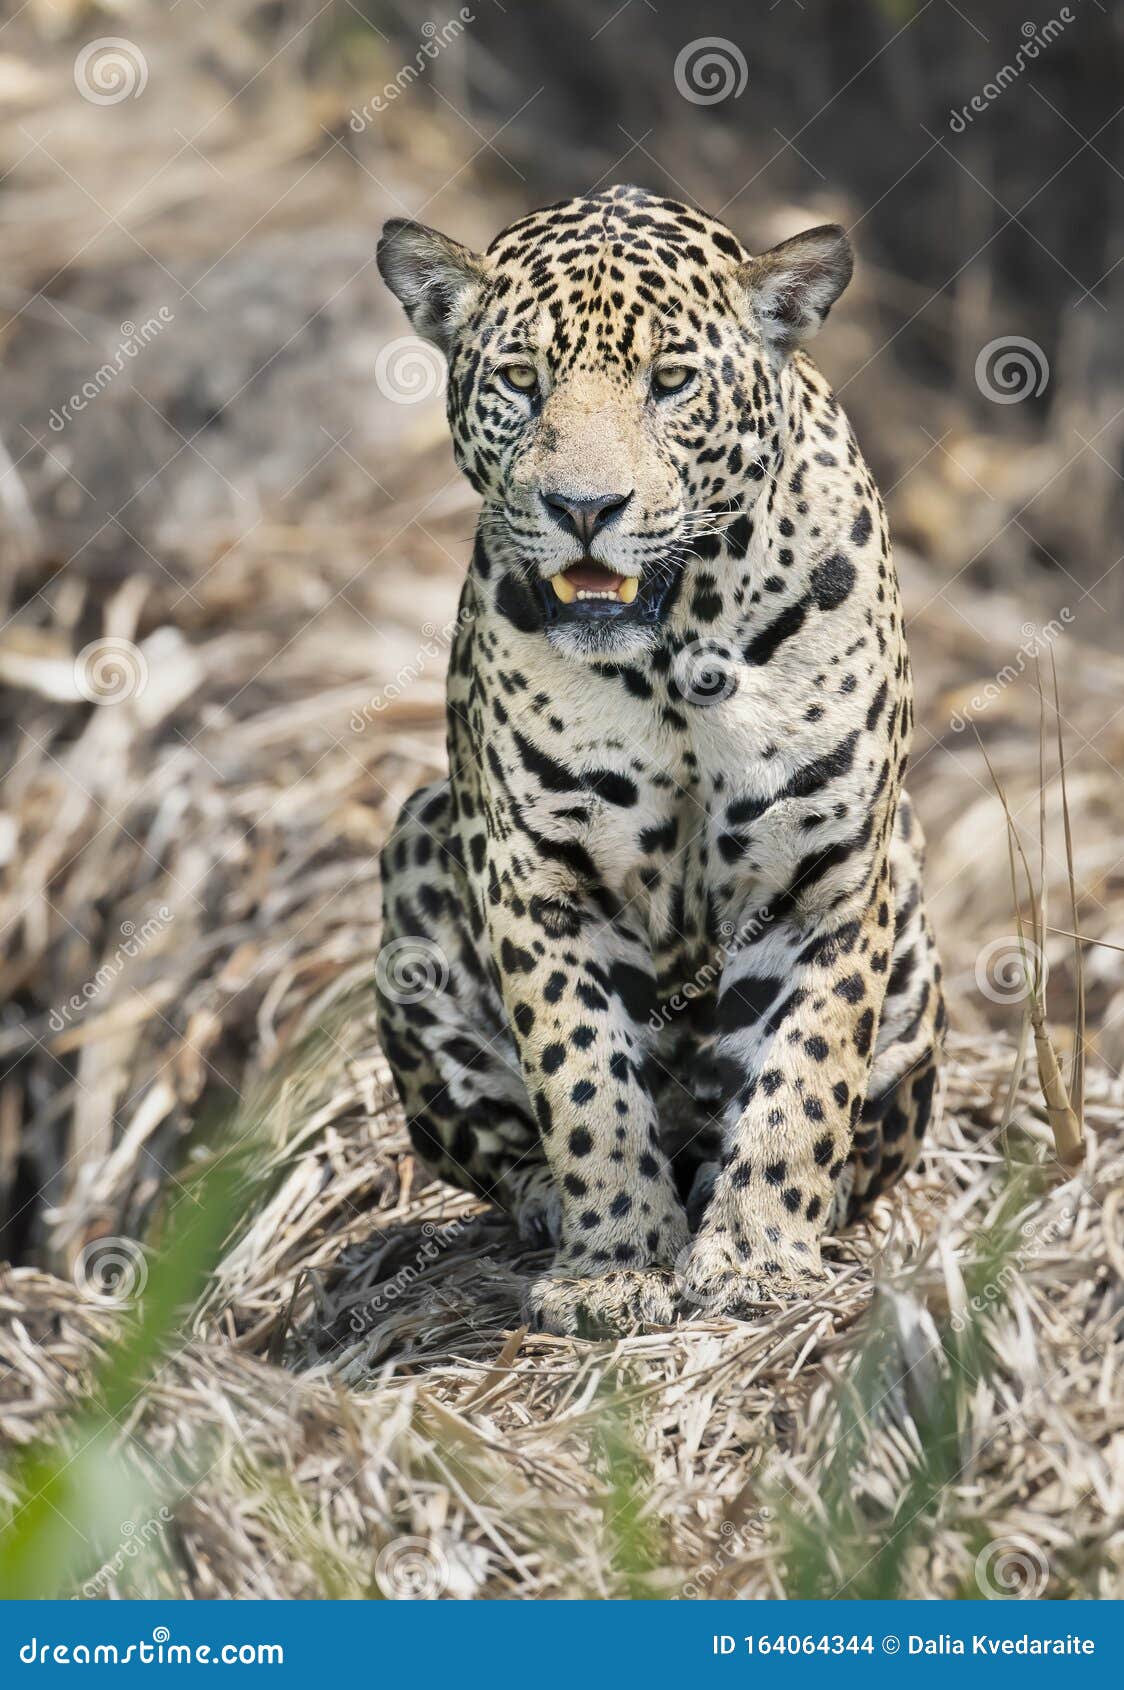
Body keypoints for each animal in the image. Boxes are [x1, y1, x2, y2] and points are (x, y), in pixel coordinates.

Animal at [373, 184, 945, 1337]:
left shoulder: (826, 878)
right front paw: (614, 1264)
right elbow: (585, 1080)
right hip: (417, 844)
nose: (584, 509)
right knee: (497, 1145)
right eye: (521, 380)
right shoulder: (539, 879)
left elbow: (806, 1074)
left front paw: (760, 1252)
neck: (676, 653)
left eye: (669, 382)